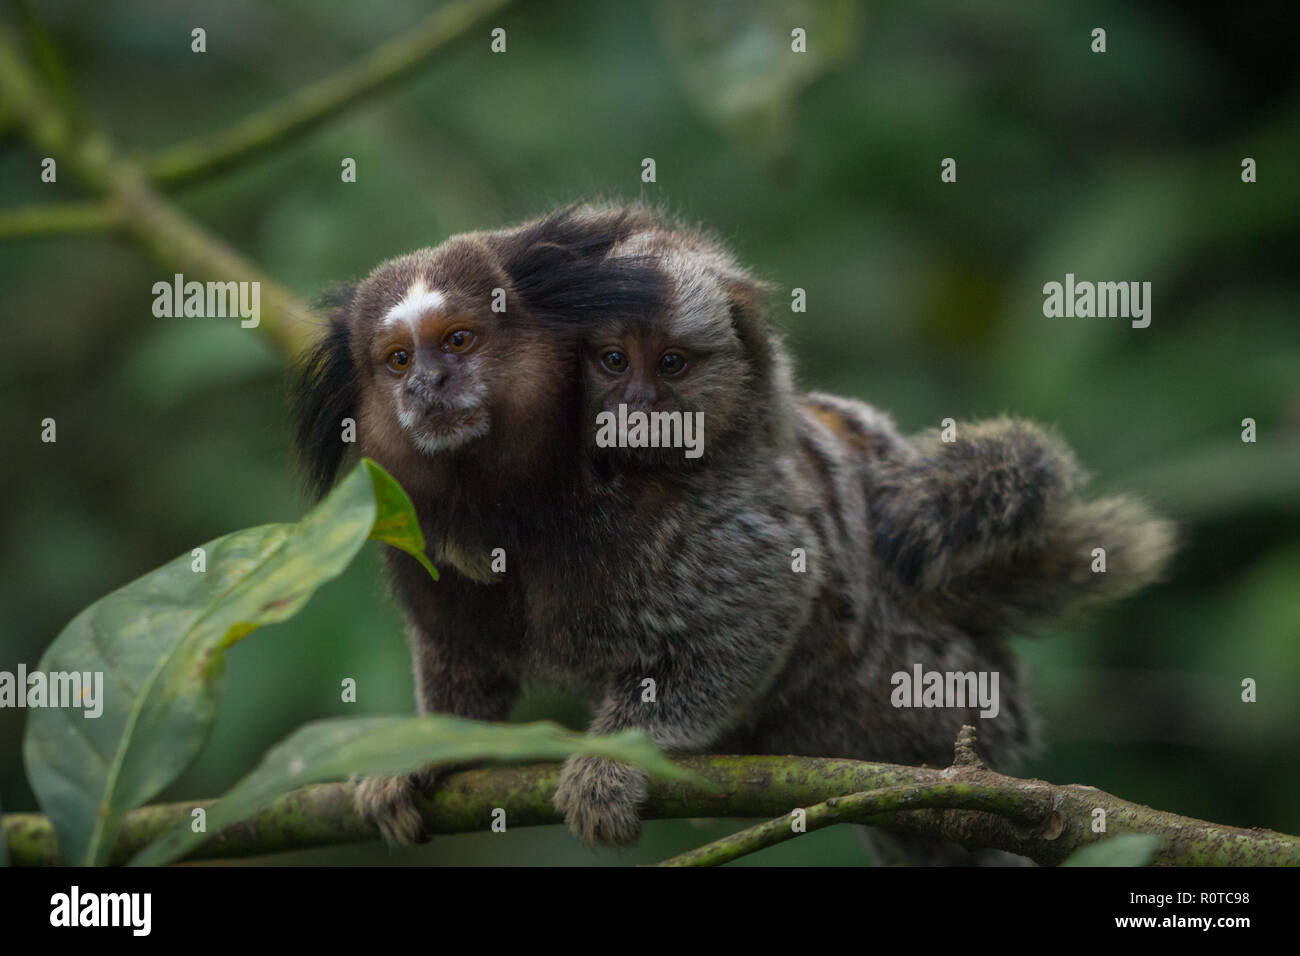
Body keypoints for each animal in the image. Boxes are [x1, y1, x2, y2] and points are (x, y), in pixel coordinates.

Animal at [291, 203, 1175, 859]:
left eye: (460, 340)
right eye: (397, 360)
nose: (429, 386)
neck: (517, 495)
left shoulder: (685, 505)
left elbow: (758, 603)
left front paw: (614, 762)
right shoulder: (419, 539)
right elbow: (461, 659)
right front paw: (418, 755)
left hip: (927, 682)